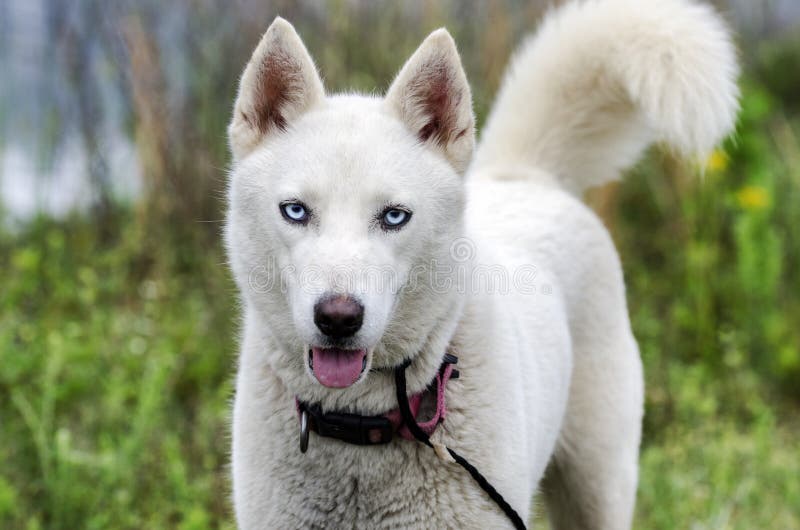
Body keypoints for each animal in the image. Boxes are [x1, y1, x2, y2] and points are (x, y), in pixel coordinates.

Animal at [223, 1, 736, 524]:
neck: (360, 427)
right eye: (295, 211)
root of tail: (524, 174)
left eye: (394, 216)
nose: (338, 318)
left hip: (597, 489)